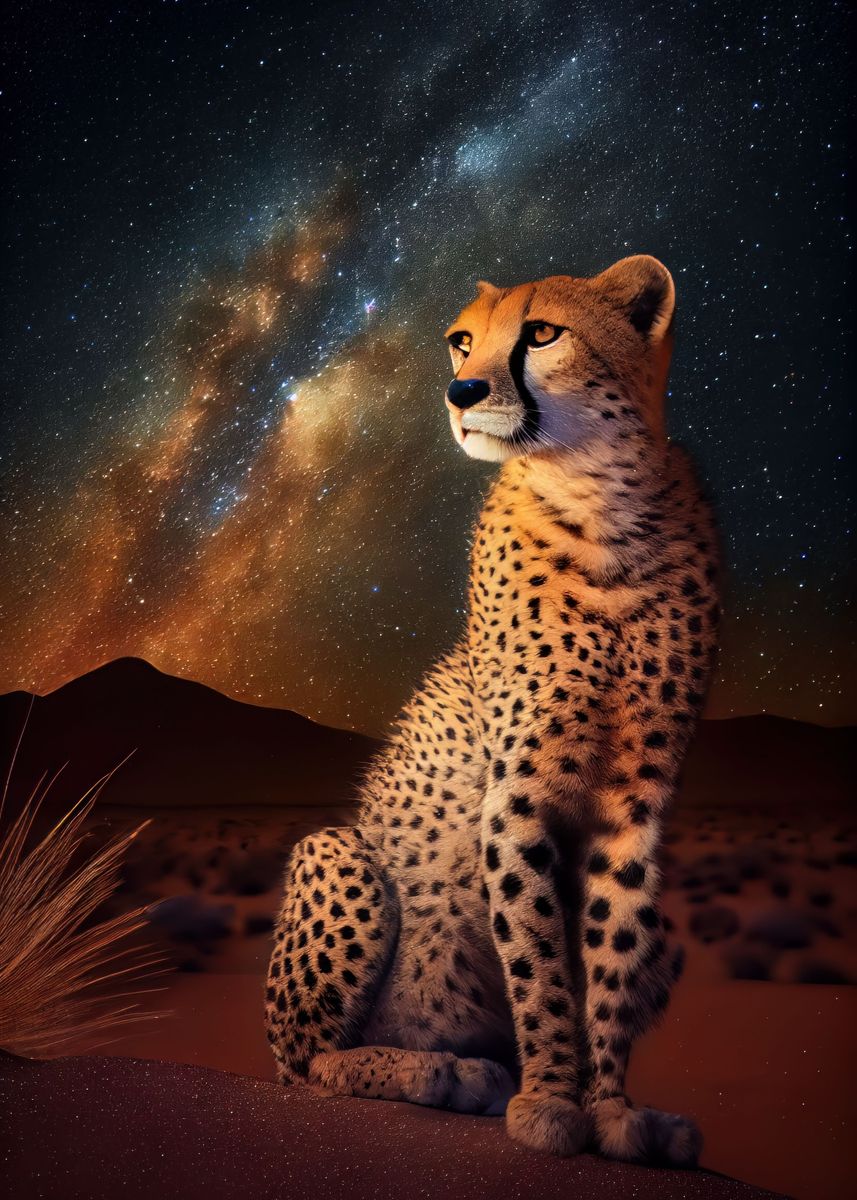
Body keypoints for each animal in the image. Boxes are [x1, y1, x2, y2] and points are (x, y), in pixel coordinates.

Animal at [265, 254, 720, 1164]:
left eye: (541, 333)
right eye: (461, 340)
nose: (461, 390)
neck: (600, 494)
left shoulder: (636, 802)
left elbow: (608, 953)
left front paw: (613, 1109)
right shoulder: (516, 795)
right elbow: (538, 958)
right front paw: (548, 1099)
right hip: (340, 855)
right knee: (305, 1066)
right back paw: (441, 1071)